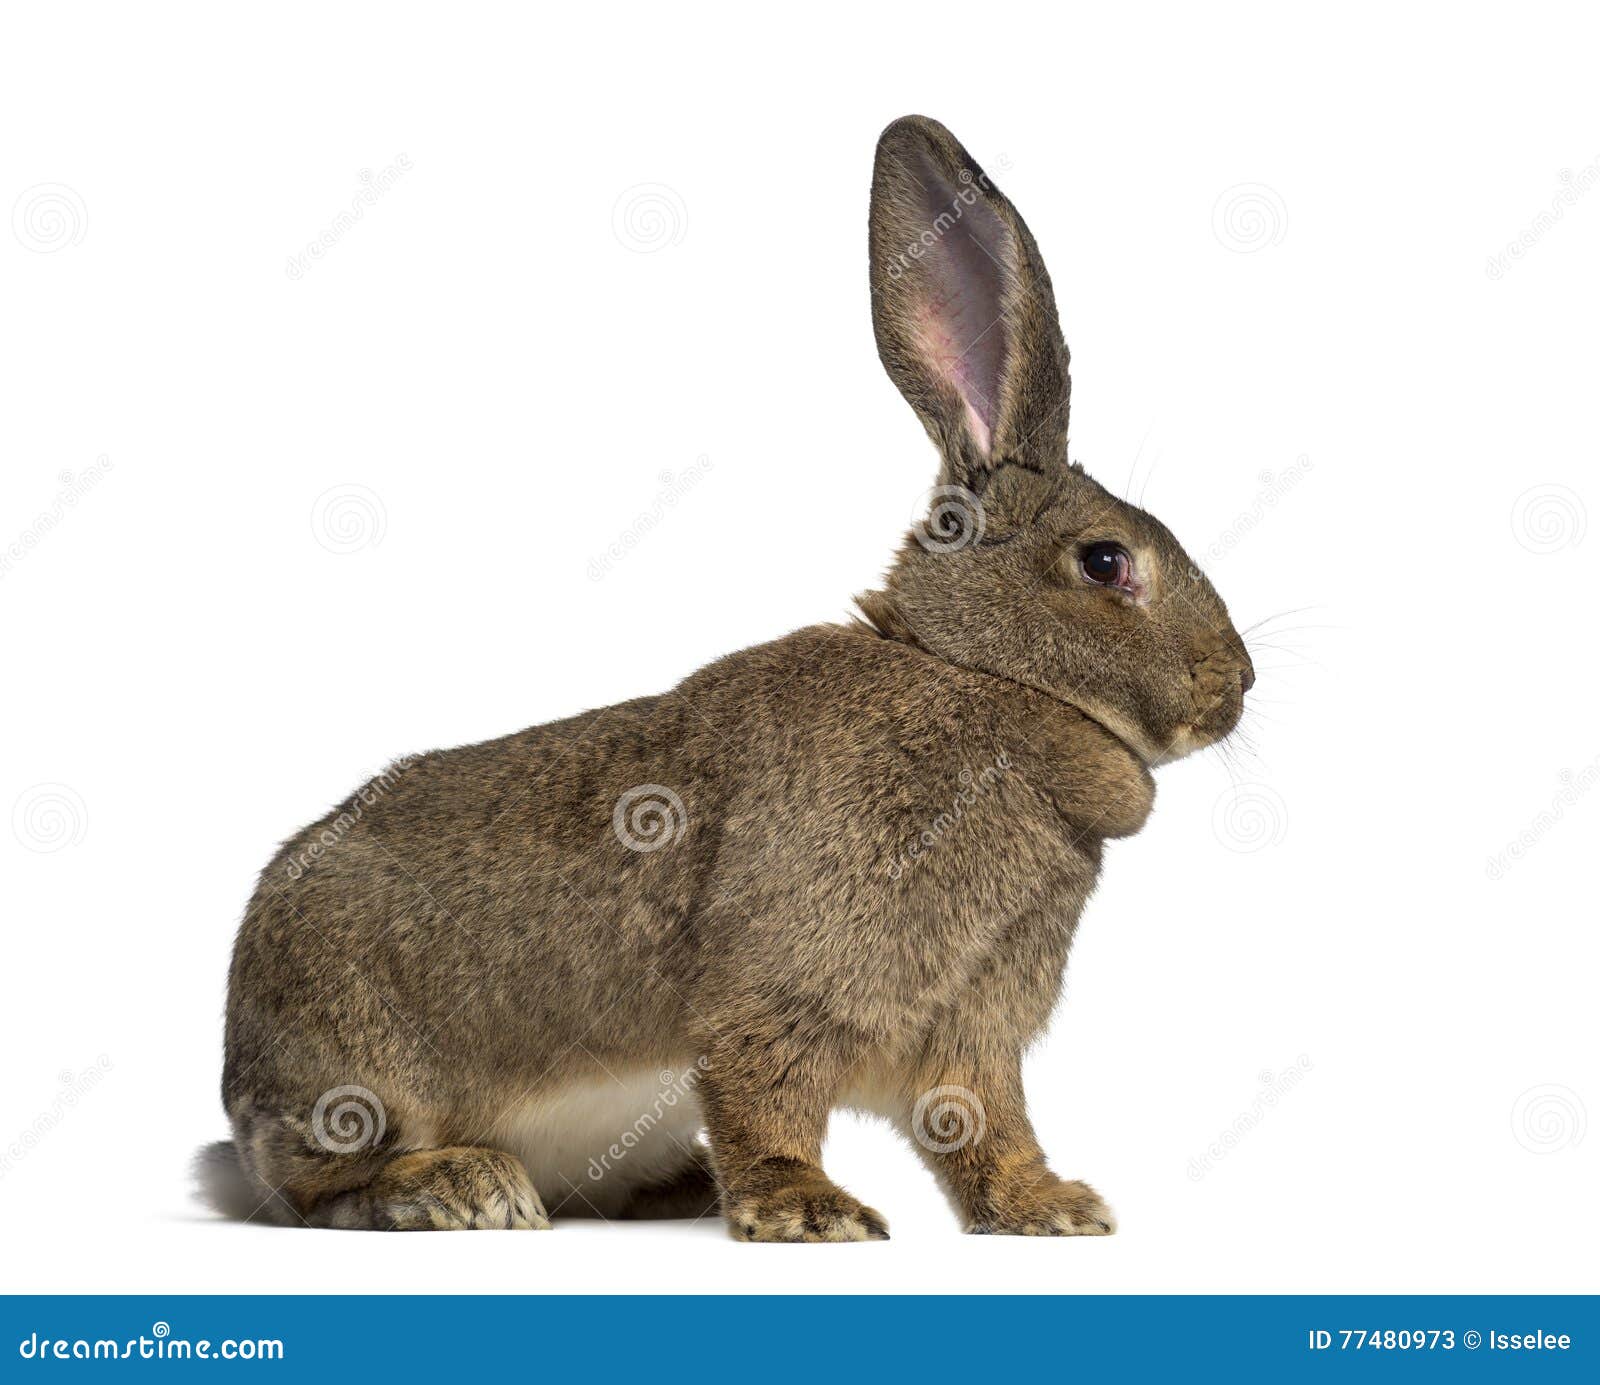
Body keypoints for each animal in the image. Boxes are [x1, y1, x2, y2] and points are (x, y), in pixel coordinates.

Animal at [197, 114, 1254, 1241]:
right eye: (1105, 562)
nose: (1234, 686)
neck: (981, 681)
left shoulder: (973, 1025)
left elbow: (982, 1122)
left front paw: (1049, 1208)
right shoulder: (780, 986)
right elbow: (768, 1092)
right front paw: (809, 1211)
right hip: (360, 1073)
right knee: (316, 1188)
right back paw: (461, 1185)